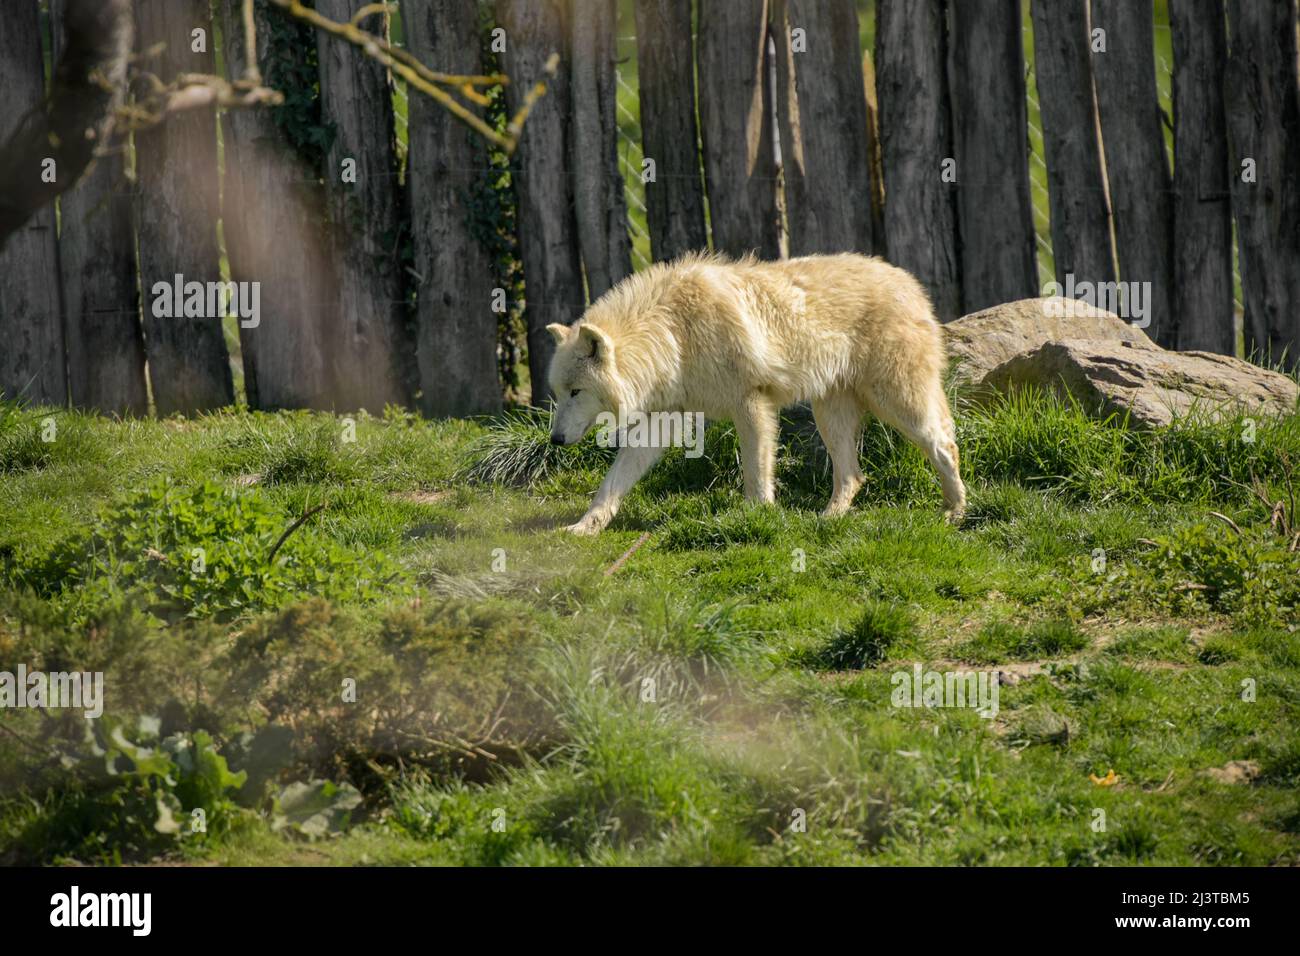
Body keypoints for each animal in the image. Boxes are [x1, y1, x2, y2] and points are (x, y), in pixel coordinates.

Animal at [546, 252, 965, 535]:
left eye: (576, 392)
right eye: (559, 393)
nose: (555, 440)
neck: (673, 334)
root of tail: (909, 282)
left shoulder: (751, 402)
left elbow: (756, 471)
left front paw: (757, 517)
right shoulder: (664, 421)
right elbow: (612, 483)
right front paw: (586, 526)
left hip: (899, 404)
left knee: (945, 444)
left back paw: (956, 512)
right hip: (830, 416)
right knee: (852, 475)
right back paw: (827, 519)